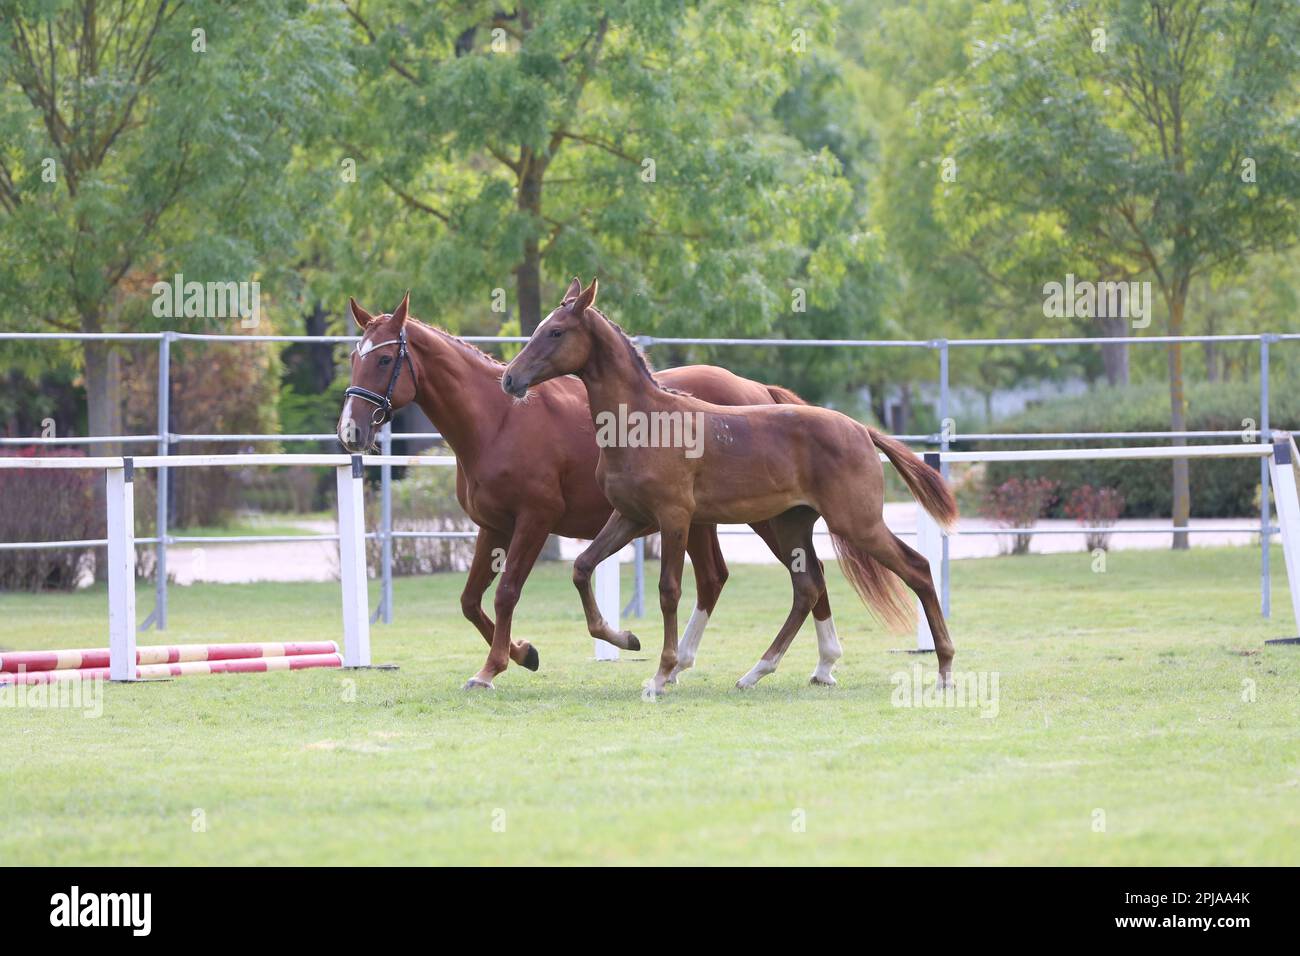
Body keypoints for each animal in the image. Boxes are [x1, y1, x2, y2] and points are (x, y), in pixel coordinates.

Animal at [336, 291, 840, 690]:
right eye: (354, 357)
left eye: (385, 359)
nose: (350, 431)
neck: (498, 420)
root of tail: (759, 391)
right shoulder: (492, 527)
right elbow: (470, 600)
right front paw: (524, 652)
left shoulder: (534, 520)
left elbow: (506, 593)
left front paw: (493, 668)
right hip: (707, 522)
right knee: (722, 579)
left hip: (759, 517)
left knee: (805, 577)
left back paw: (815, 663)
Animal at [502, 279, 958, 696]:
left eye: (556, 331)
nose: (509, 379)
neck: (644, 421)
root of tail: (862, 429)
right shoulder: (630, 516)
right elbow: (582, 567)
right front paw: (626, 639)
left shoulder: (674, 518)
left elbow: (669, 590)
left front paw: (661, 675)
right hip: (792, 524)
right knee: (808, 587)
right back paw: (758, 672)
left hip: (856, 522)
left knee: (917, 568)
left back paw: (945, 669)